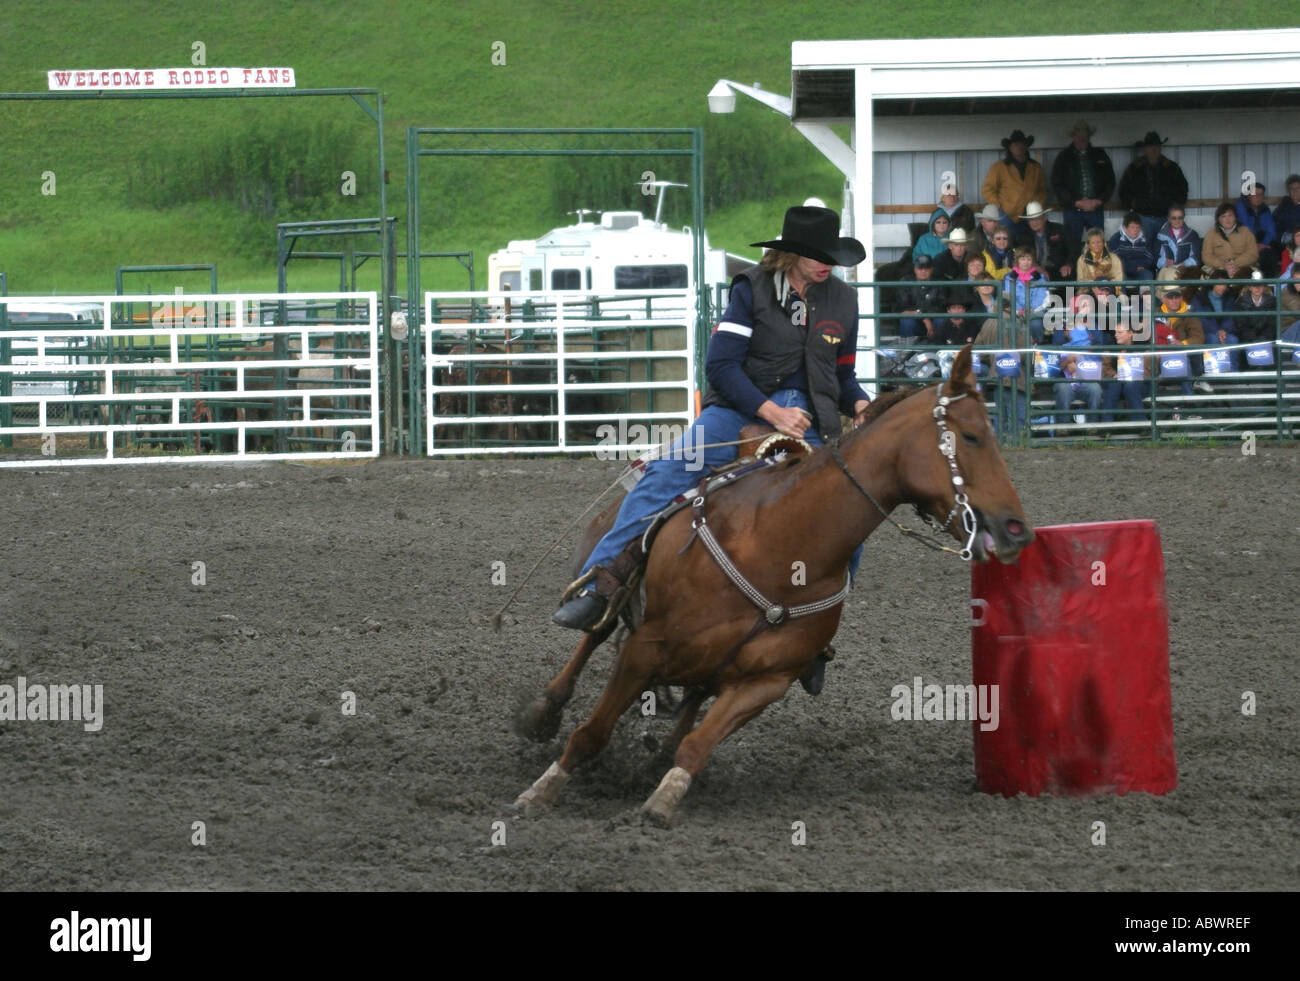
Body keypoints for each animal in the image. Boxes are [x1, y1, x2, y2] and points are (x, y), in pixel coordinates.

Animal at [510, 344, 1035, 825]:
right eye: (972, 436)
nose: (1016, 530)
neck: (779, 543)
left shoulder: (767, 681)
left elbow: (697, 745)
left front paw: (663, 797)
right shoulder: (644, 649)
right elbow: (591, 732)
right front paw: (539, 792)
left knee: (692, 696)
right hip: (610, 590)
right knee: (595, 629)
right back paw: (543, 711)